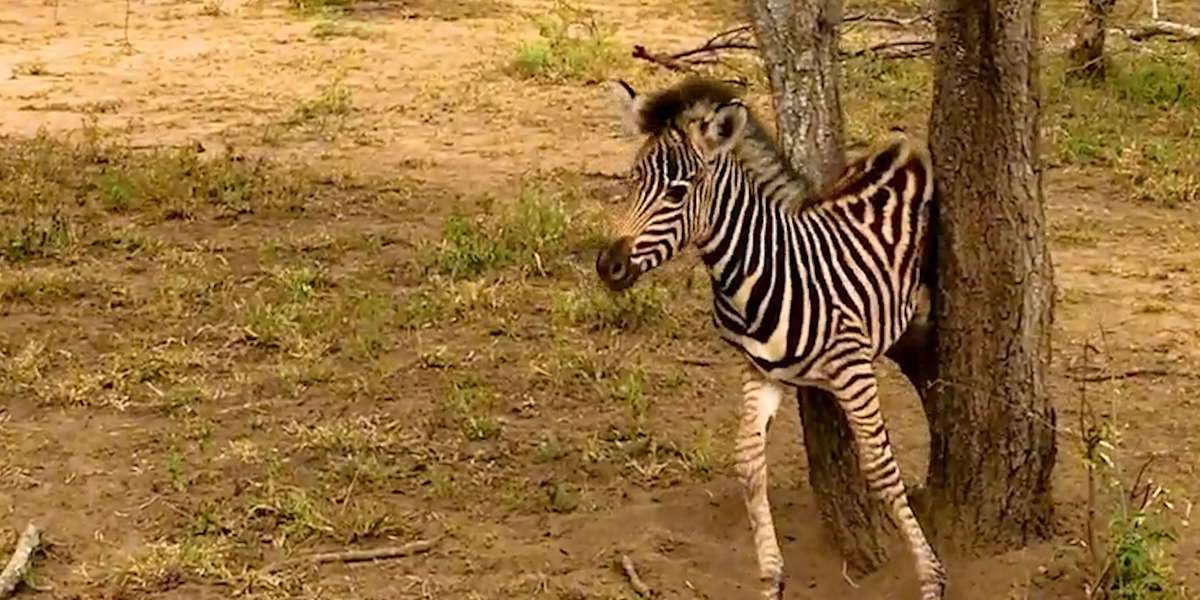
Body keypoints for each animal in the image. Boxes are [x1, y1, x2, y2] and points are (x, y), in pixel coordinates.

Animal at [594, 76, 945, 600]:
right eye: (634, 179)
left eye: (678, 192)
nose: (608, 266)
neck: (757, 270)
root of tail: (897, 144)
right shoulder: (760, 371)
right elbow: (749, 465)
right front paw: (771, 579)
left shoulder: (852, 368)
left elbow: (881, 467)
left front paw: (931, 578)